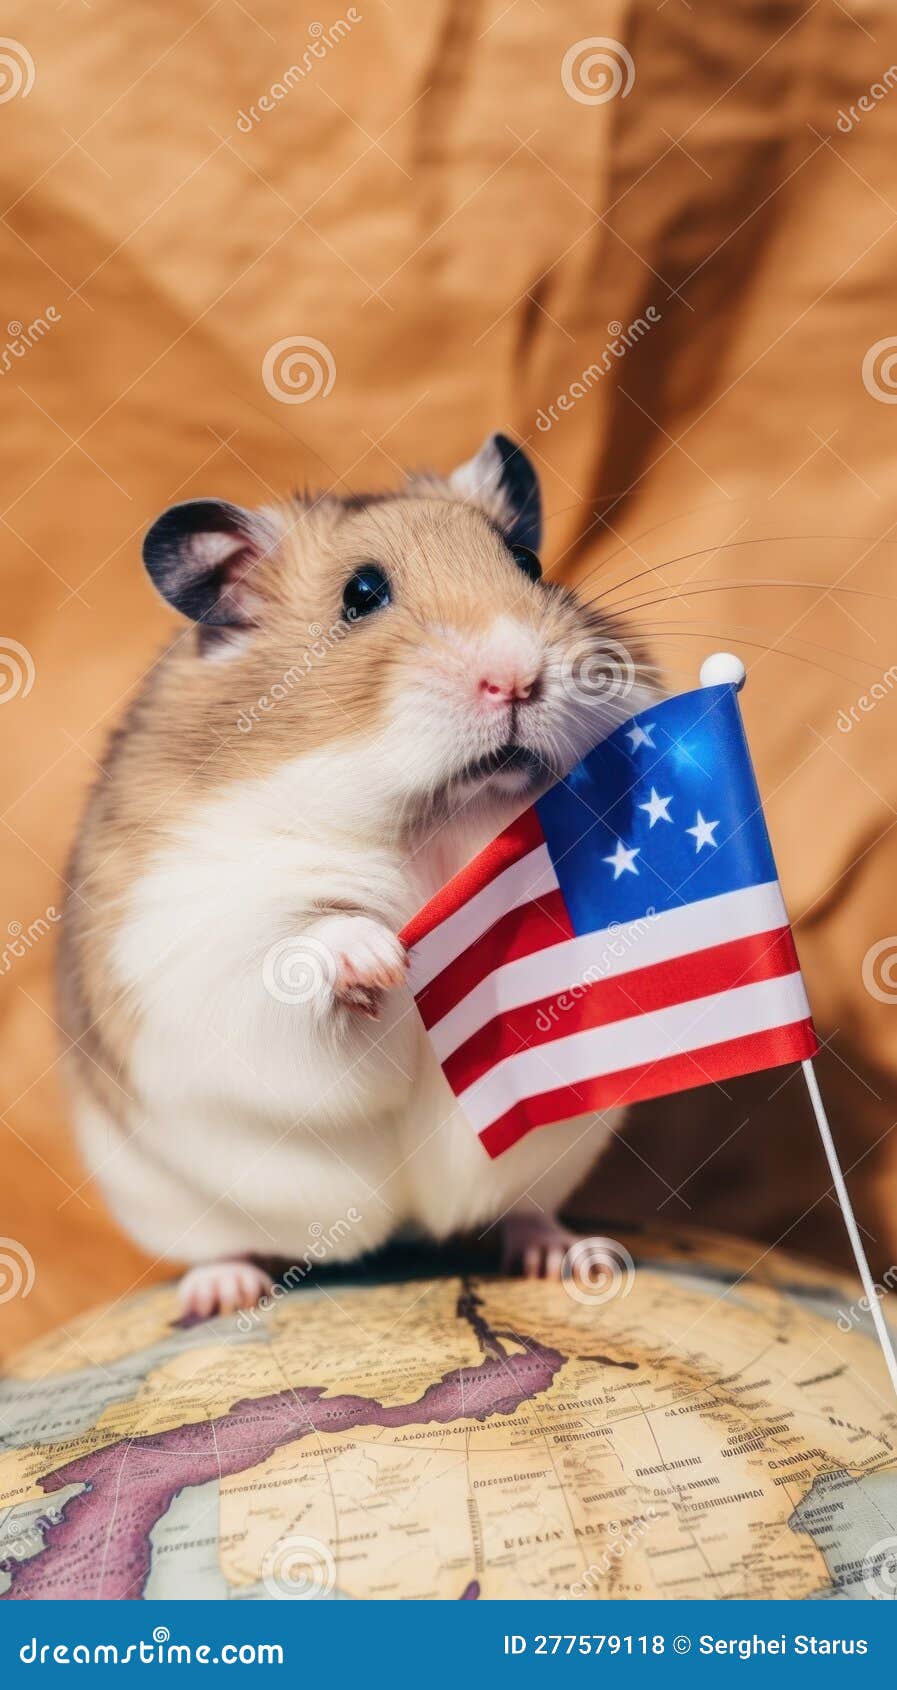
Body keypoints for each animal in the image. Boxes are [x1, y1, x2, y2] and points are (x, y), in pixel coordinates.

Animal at [57, 433, 655, 1317]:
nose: (517, 675)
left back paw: (564, 1258)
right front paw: (379, 958)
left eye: (526, 562)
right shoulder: (204, 949)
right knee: (215, 1247)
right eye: (362, 594)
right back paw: (221, 1292)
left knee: (523, 1212)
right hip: (158, 1195)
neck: (434, 821)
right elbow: (309, 943)